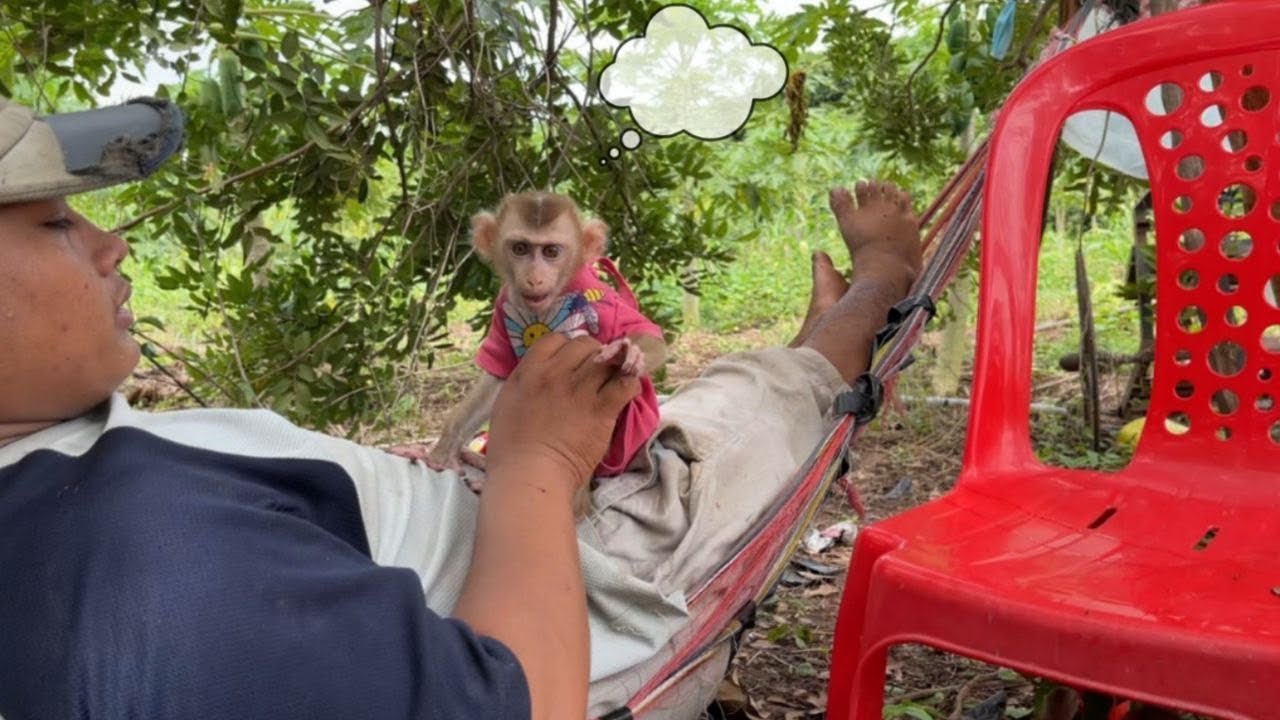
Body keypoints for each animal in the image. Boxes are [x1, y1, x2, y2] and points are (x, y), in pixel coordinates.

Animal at [391, 192, 667, 510]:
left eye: (551, 252)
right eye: (520, 248)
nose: (534, 278)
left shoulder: (600, 302)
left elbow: (646, 337)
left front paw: (630, 352)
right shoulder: (504, 304)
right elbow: (497, 381)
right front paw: (440, 454)